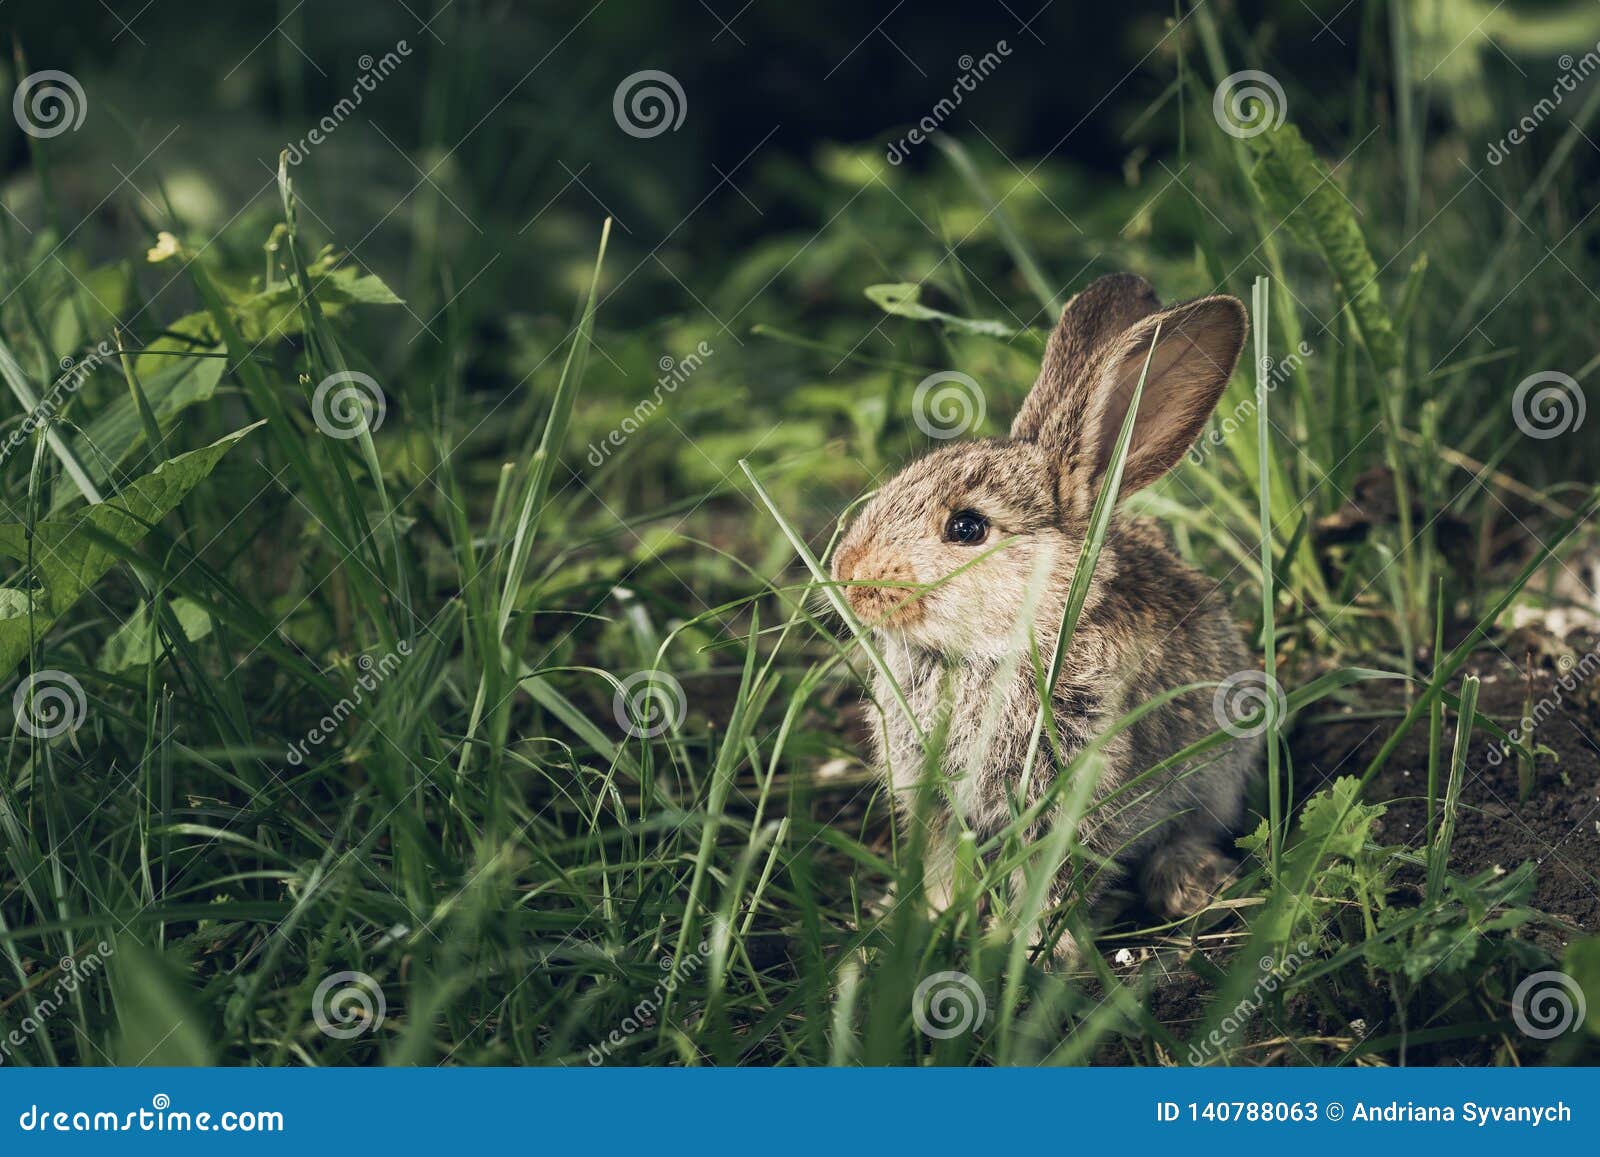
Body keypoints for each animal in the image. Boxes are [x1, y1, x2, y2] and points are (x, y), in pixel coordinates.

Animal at [830, 272, 1261, 962]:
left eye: (967, 528)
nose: (848, 573)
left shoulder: (1074, 794)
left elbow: (1054, 878)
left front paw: (1030, 951)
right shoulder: (940, 806)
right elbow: (943, 865)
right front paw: (930, 920)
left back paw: (1190, 886)